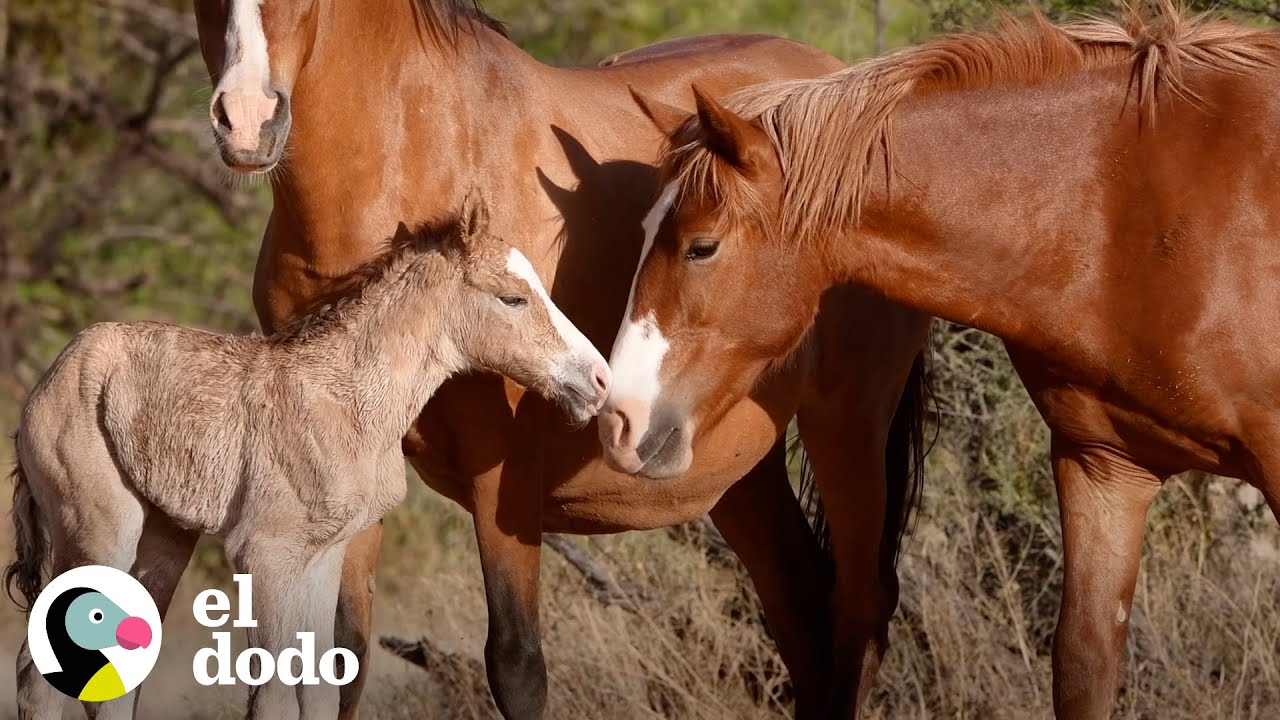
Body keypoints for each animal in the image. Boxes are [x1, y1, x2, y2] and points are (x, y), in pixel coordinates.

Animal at [5, 194, 610, 720]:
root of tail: (49, 377)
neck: (351, 403)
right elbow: (272, 697)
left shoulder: (323, 556)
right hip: (100, 530)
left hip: (163, 540)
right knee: (37, 672)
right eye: (513, 298)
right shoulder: (264, 554)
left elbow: (319, 690)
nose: (598, 380)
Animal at [191, 1, 932, 717]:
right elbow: (338, 662)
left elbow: (517, 664)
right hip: (732, 463)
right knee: (801, 609)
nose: (248, 121)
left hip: (847, 424)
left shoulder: (505, 470)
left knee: (859, 608)